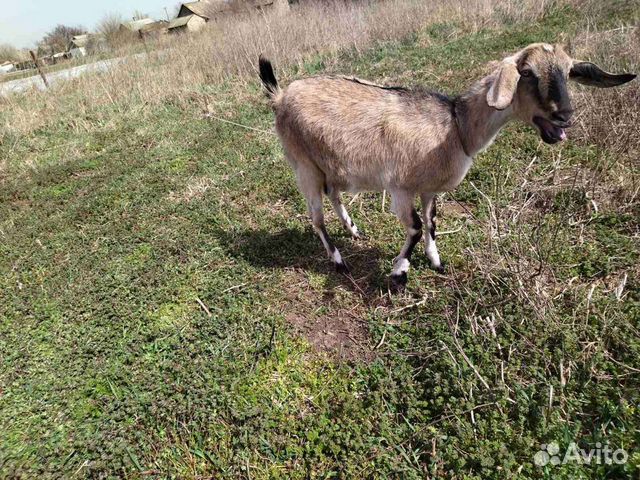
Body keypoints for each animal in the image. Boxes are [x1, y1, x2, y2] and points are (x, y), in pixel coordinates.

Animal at [259, 43, 635, 292]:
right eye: (526, 73)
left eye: (570, 72)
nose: (565, 116)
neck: (456, 126)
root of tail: (281, 95)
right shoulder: (400, 187)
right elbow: (413, 227)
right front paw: (399, 274)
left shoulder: (428, 189)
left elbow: (431, 222)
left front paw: (436, 261)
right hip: (303, 164)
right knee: (316, 216)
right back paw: (339, 261)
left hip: (333, 165)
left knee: (334, 195)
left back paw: (354, 230)